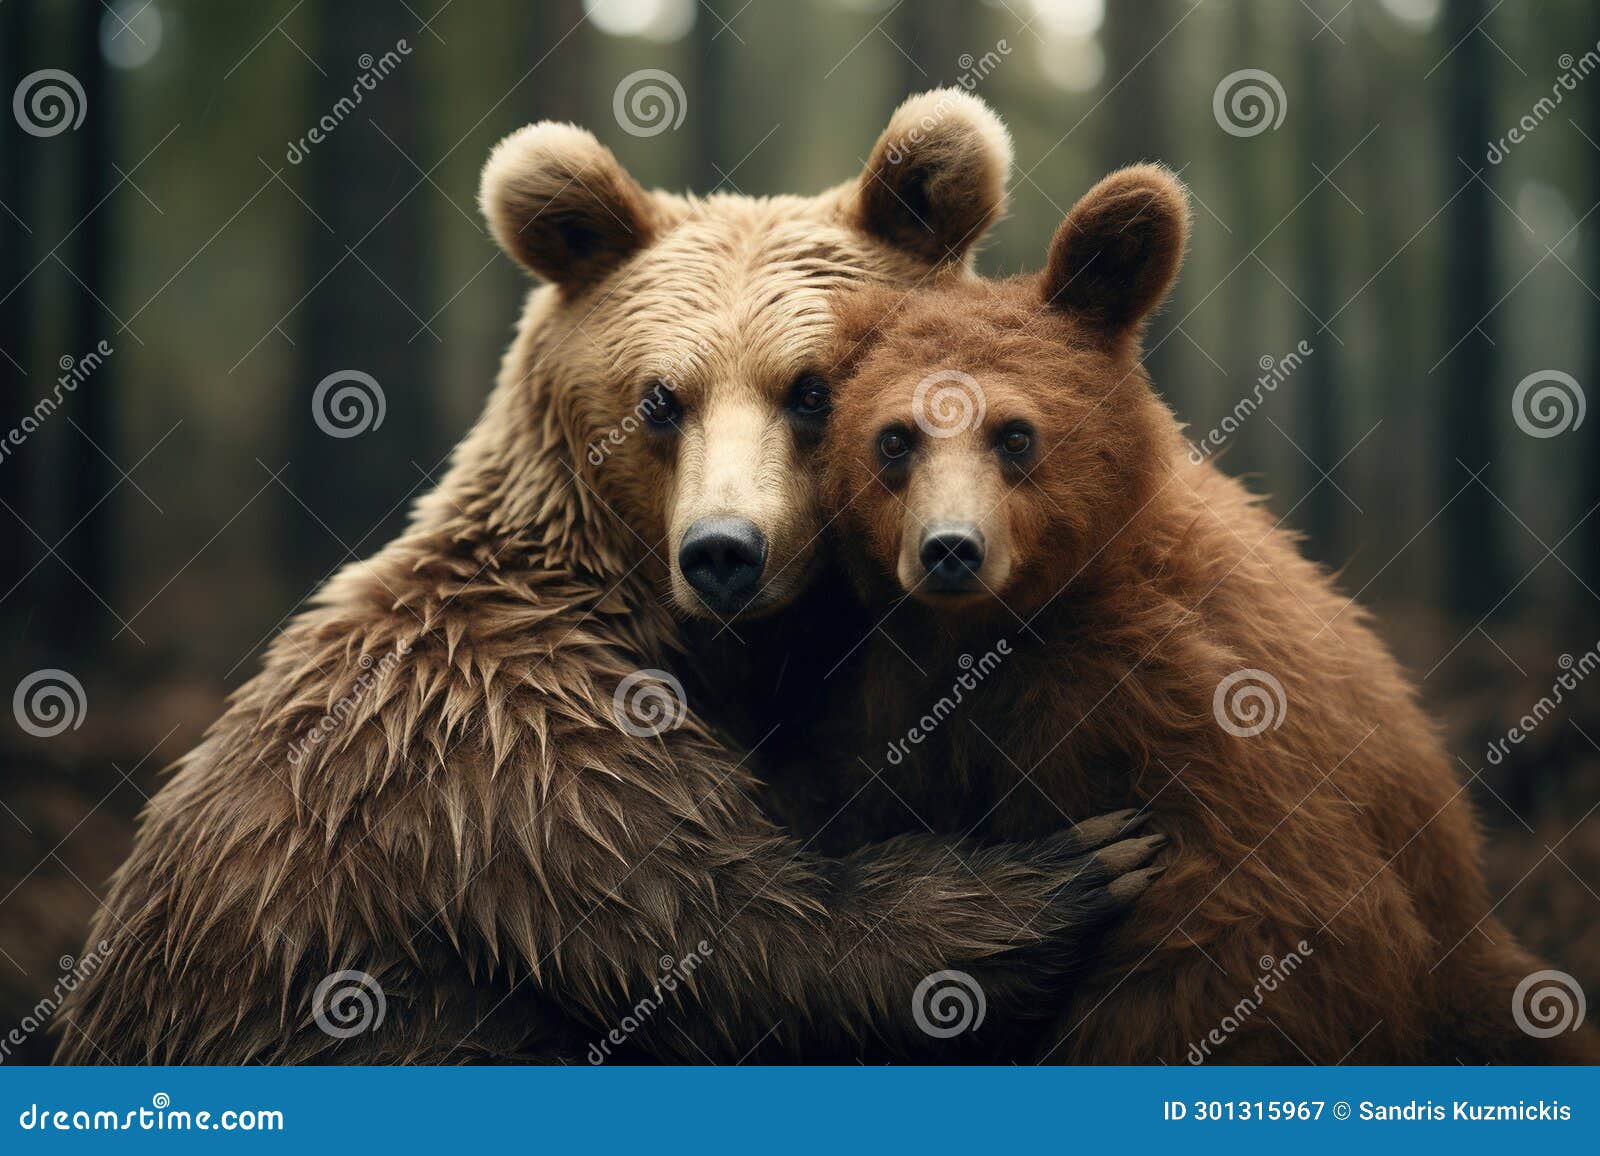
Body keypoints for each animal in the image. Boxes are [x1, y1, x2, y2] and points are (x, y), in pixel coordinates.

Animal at [54, 92, 1159, 1064]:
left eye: (812, 389)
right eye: (660, 397)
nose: (724, 550)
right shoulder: (509, 753)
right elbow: (731, 927)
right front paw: (1071, 872)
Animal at [701, 165, 1600, 1064]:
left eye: (1016, 434)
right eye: (894, 439)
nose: (950, 548)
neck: (1011, 628)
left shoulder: (1190, 708)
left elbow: (1245, 926)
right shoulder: (901, 705)